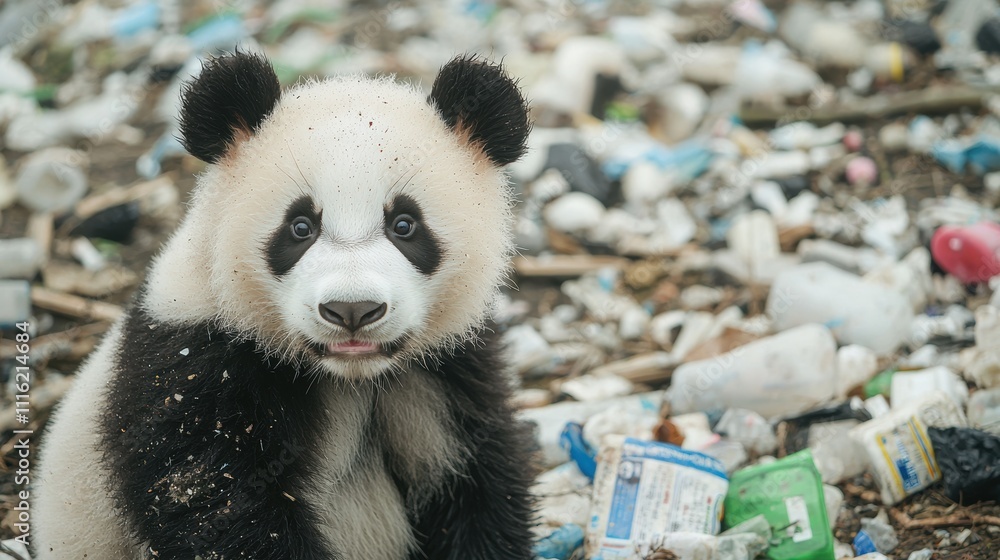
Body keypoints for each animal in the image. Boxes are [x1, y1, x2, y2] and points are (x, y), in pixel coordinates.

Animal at [35, 51, 535, 560]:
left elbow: (473, 479)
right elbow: (215, 504)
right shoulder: (196, 361)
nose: (352, 310)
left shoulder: (445, 372)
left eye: (404, 224)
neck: (347, 378)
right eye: (299, 227)